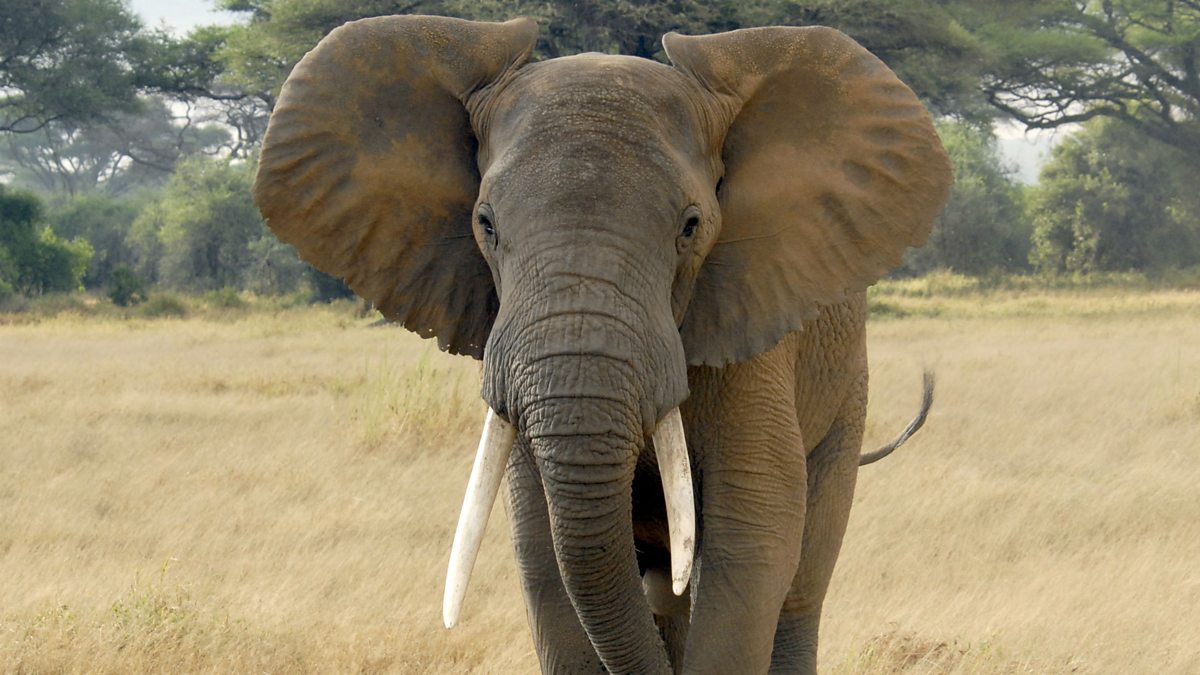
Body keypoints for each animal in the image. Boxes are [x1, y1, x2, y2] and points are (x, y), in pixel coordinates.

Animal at [254, 15, 950, 674]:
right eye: (485, 223)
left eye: (691, 227)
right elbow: (544, 558)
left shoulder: (752, 337)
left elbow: (752, 543)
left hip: (845, 398)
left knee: (799, 591)